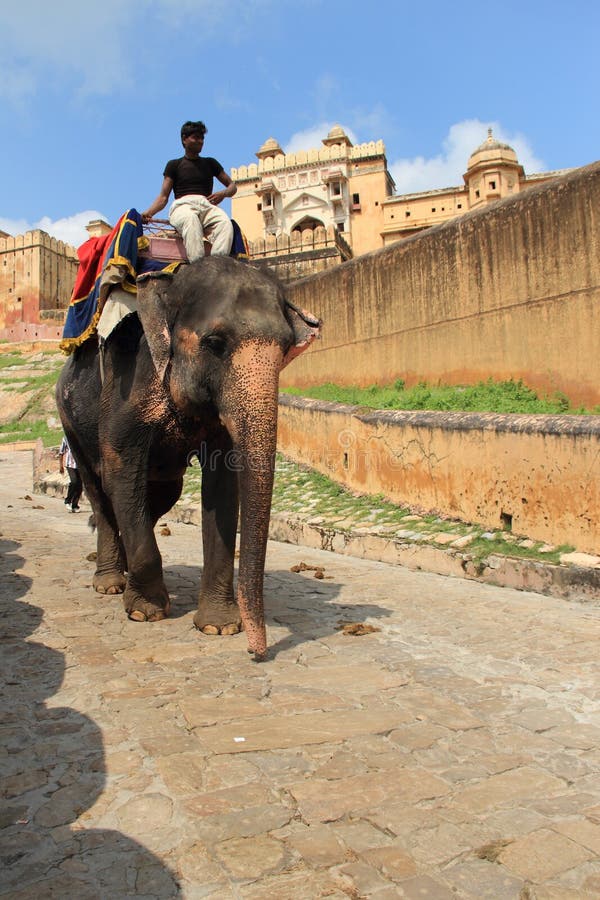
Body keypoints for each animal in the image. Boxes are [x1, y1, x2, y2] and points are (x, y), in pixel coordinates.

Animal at [56, 257, 320, 660]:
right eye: (214, 343)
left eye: (288, 346)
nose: (257, 653)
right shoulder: (127, 389)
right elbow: (121, 470)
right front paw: (146, 612)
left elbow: (223, 485)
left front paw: (218, 627)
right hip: (70, 420)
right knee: (100, 493)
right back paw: (111, 583)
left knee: (158, 497)